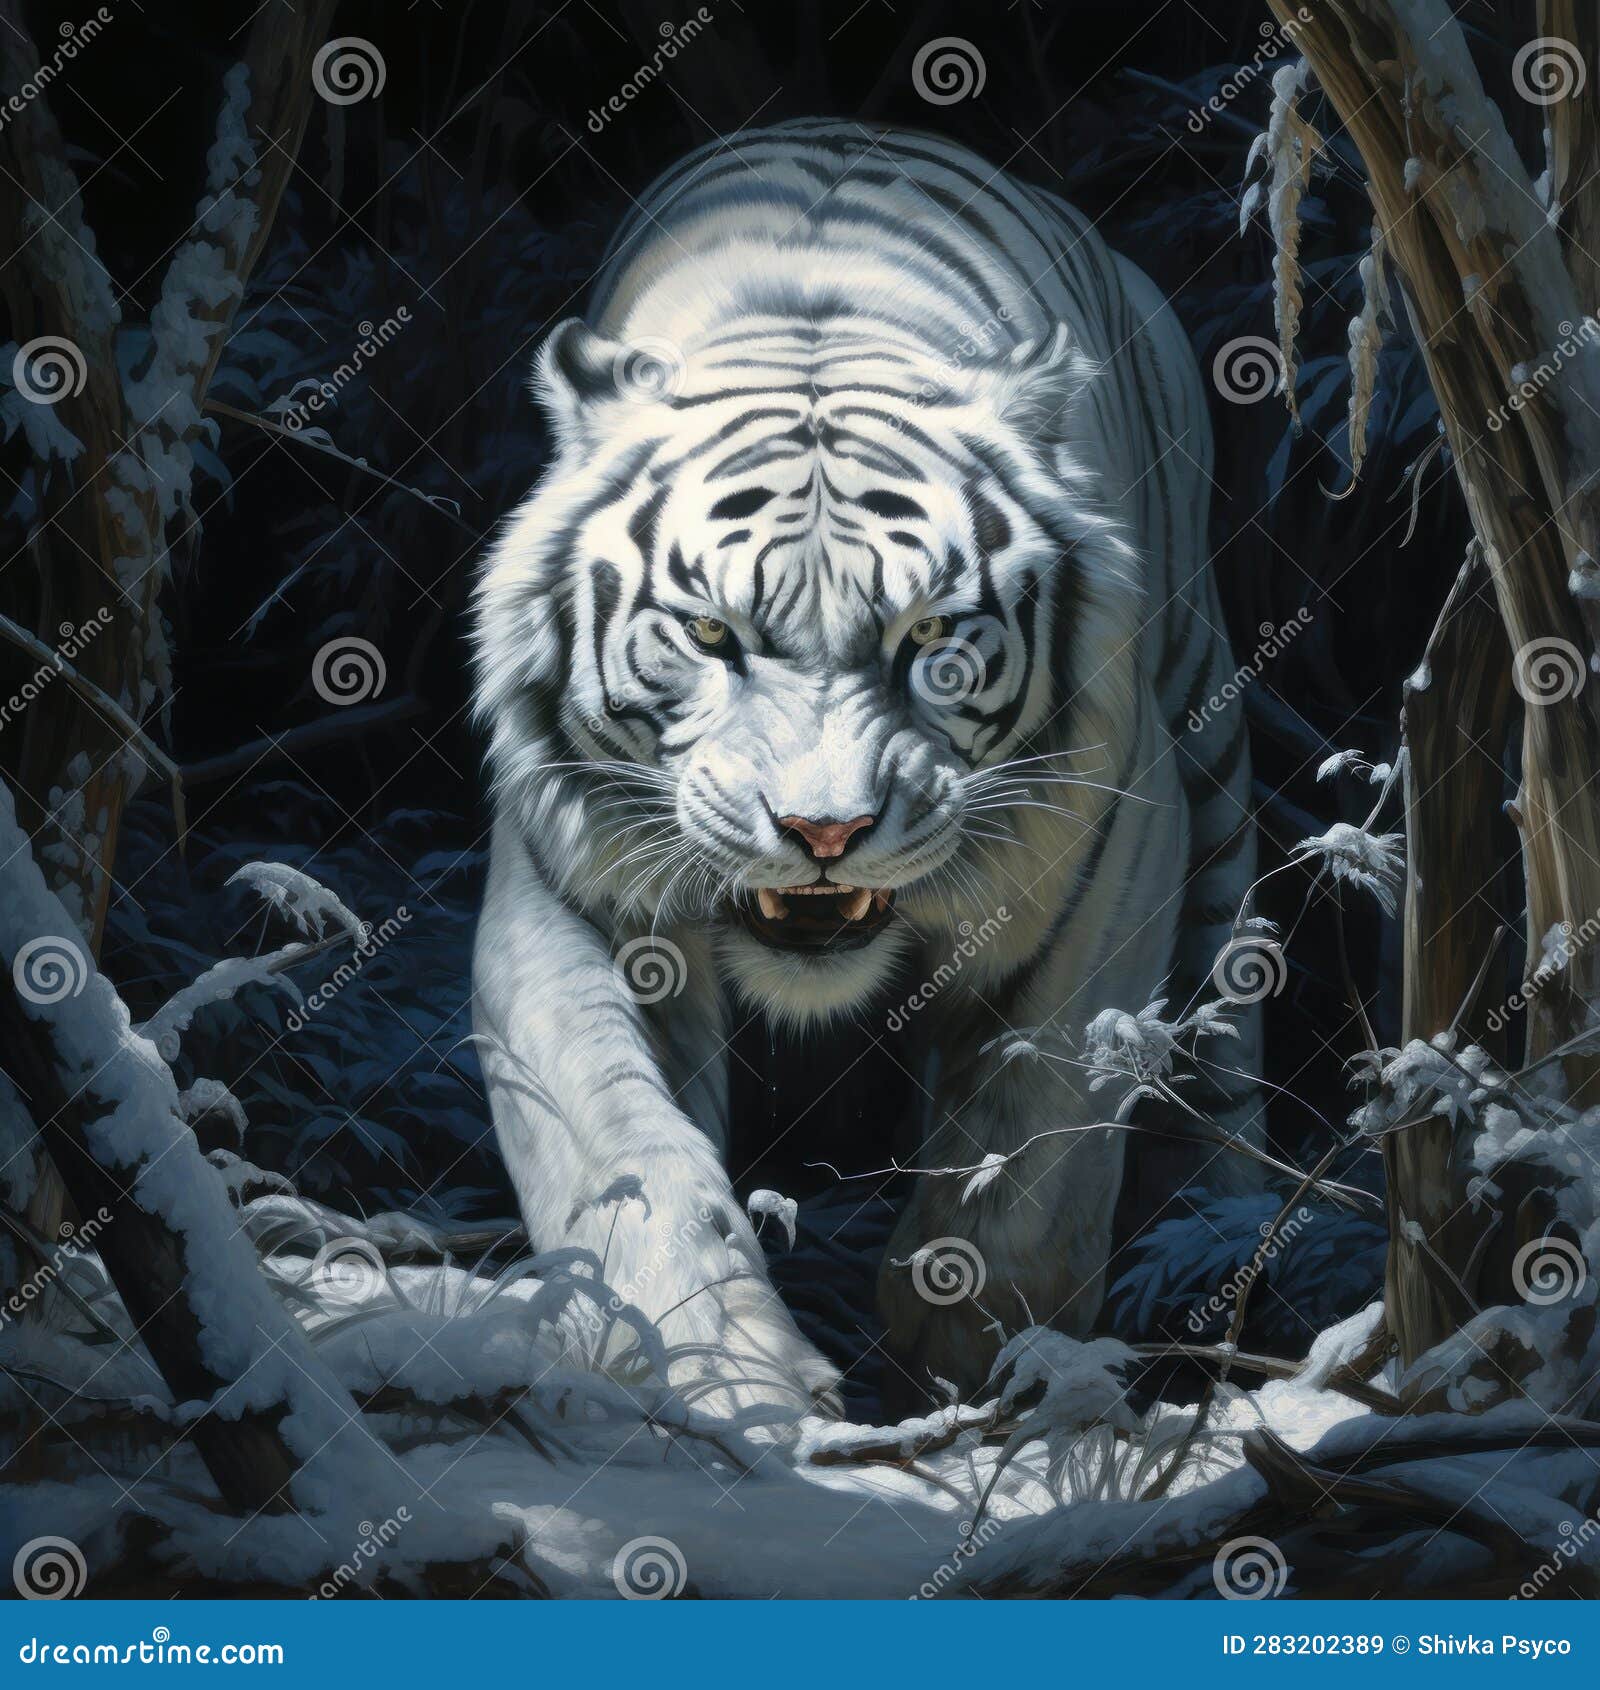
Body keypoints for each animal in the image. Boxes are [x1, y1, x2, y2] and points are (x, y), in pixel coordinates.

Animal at [471, 119, 1260, 1415]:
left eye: (927, 636)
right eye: (710, 635)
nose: (823, 832)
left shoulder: (1111, 856)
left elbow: (1032, 1153)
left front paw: (987, 1370)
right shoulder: (565, 885)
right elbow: (624, 1153)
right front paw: (733, 1373)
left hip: (1204, 715)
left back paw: (1222, 1228)